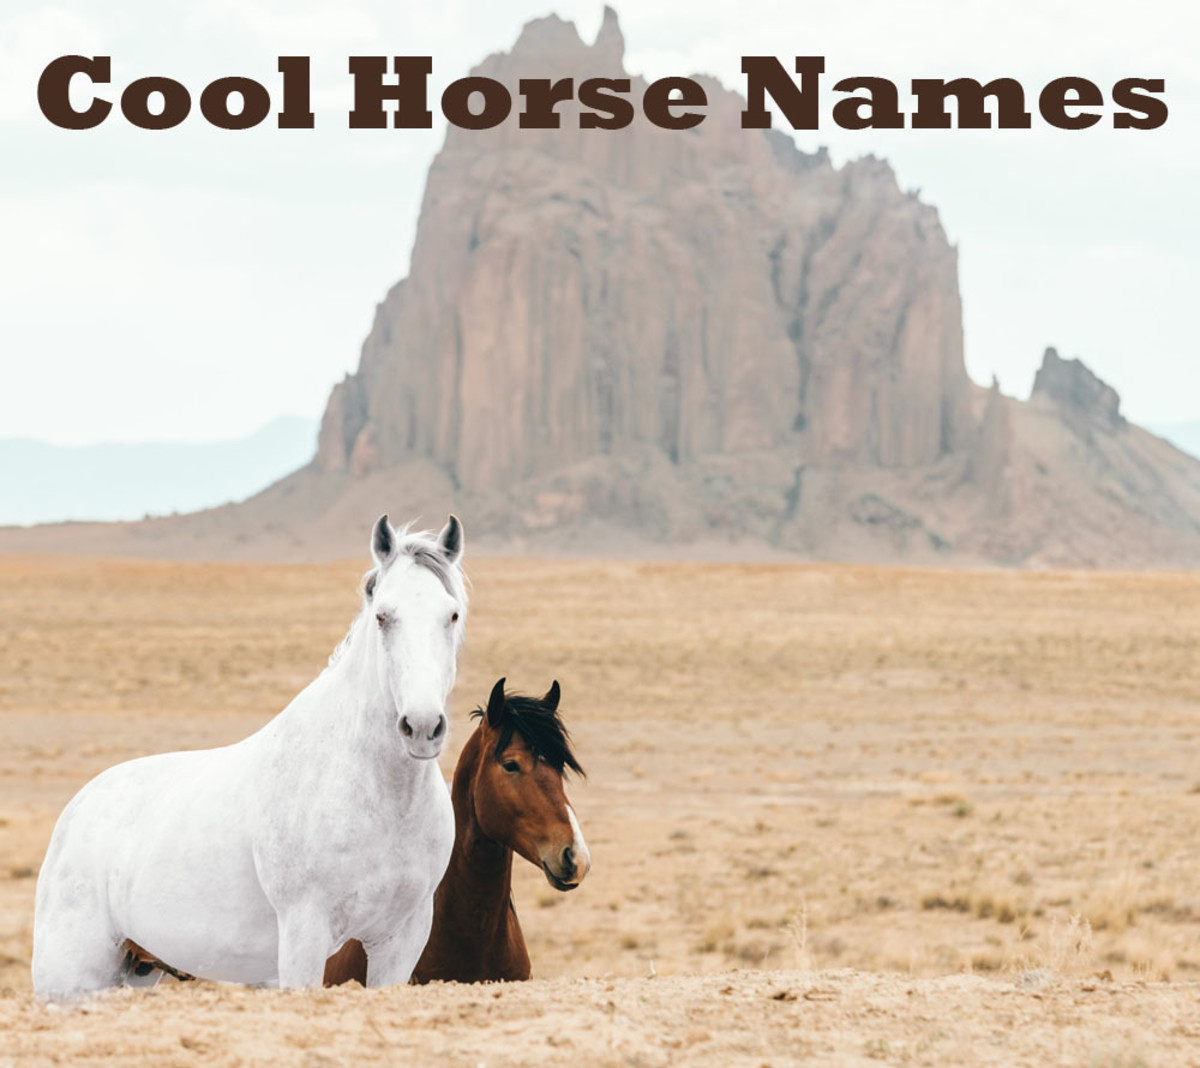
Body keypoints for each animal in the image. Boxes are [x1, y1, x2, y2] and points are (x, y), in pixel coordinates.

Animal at [32, 514, 466, 999]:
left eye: (451, 614)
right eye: (383, 617)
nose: (422, 726)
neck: (374, 793)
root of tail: (76, 809)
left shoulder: (400, 938)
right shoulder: (303, 932)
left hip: (136, 969)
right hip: (70, 979)